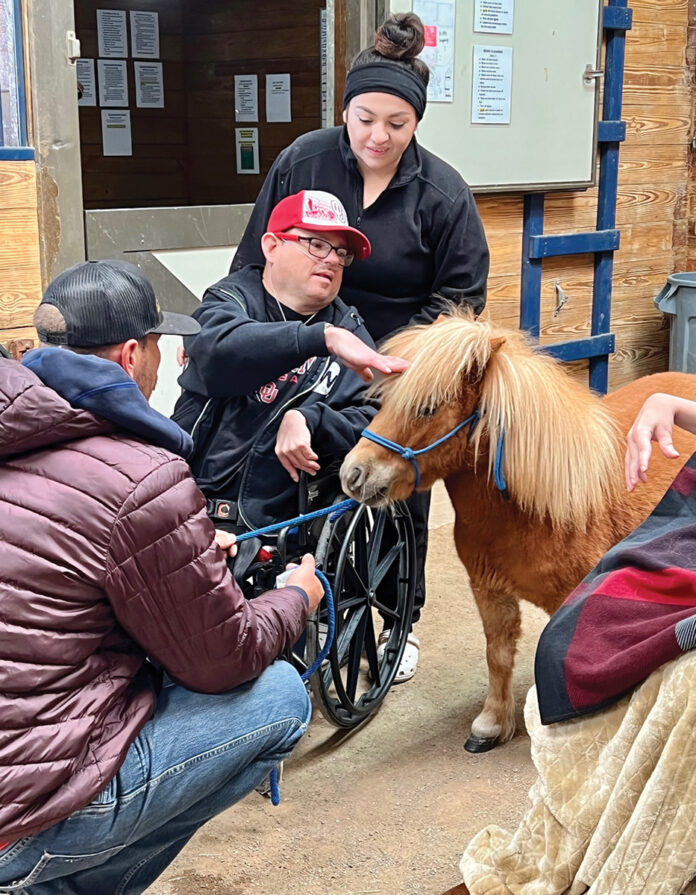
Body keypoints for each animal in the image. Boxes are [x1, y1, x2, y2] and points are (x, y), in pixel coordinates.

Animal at [340, 310, 696, 752]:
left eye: (427, 408)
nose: (353, 475)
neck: (531, 507)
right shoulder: (489, 592)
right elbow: (498, 655)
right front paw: (492, 724)